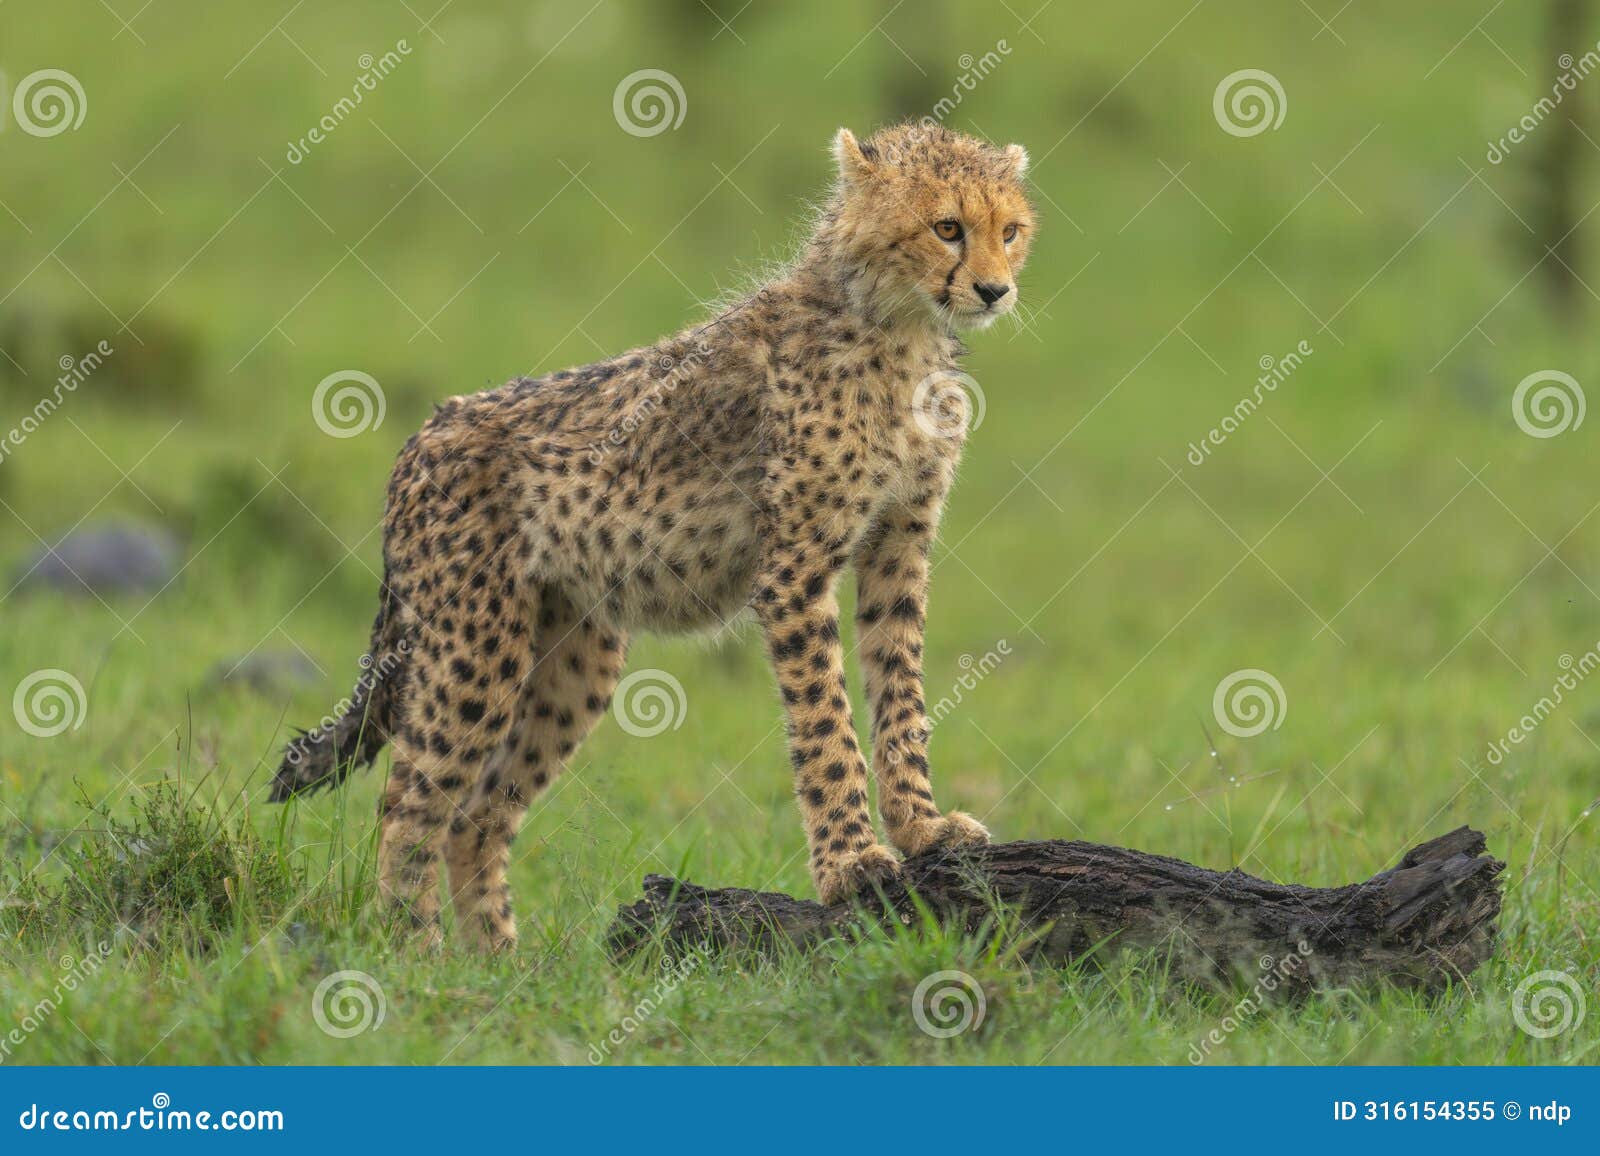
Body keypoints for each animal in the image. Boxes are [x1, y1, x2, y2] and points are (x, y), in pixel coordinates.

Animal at [270, 122, 1036, 950]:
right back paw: (416, 951)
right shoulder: (794, 570)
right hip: (474, 644)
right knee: (410, 803)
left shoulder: (898, 548)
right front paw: (850, 863)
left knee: (478, 814)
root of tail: (427, 429)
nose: (994, 290)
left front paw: (923, 828)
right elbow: (826, 721)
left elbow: (901, 692)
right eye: (947, 228)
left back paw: (502, 963)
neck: (900, 328)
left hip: (577, 655)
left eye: (1010, 231)